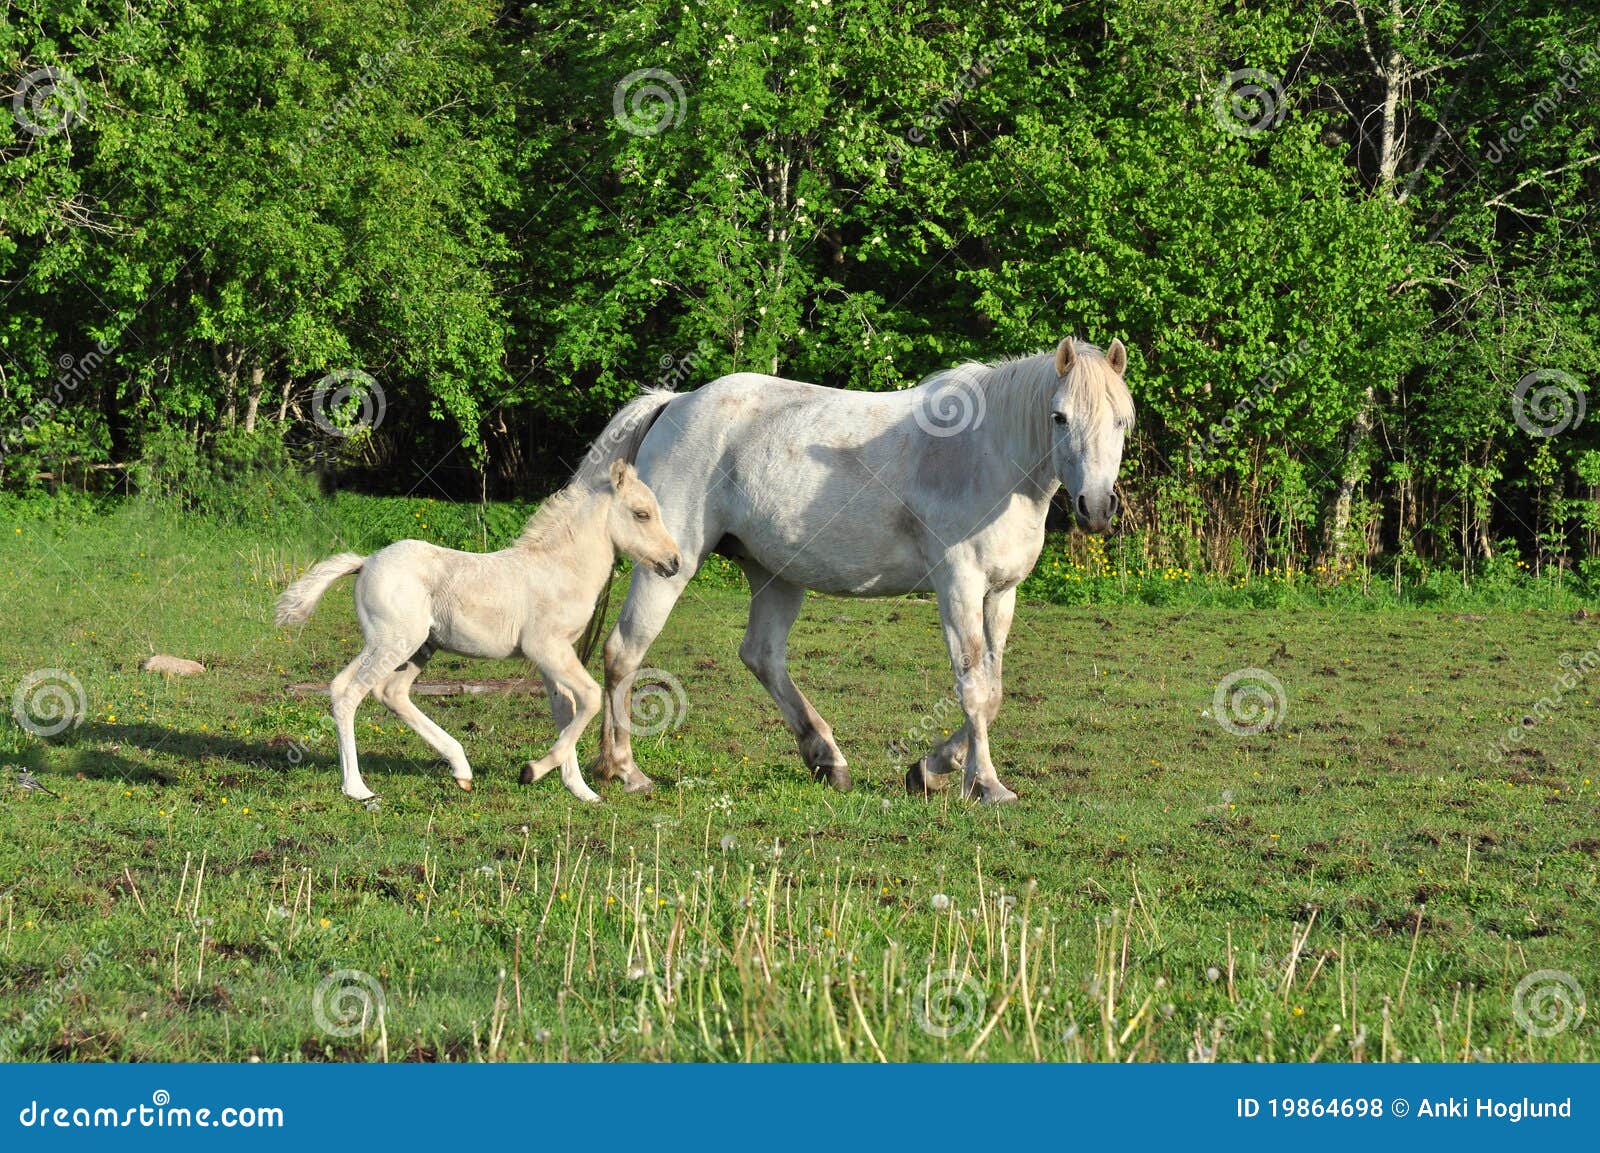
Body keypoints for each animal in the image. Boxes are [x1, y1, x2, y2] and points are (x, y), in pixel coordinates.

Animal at [274, 459, 682, 803]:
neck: (560, 568)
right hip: (390, 642)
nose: (674, 562)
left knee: (392, 692)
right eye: (642, 513)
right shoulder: (546, 647)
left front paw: (581, 790)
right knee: (346, 690)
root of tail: (366, 562)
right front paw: (532, 771)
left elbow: (567, 708)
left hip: (421, 647)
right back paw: (357, 788)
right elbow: (592, 697)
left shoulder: (553, 656)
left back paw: (461, 770)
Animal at [576, 337, 1134, 803]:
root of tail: (674, 404)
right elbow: (974, 687)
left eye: (1121, 421)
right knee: (623, 652)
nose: (1096, 507)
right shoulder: (959, 586)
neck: (987, 456)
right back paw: (623, 770)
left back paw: (827, 759)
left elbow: (993, 690)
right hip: (669, 567)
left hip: (776, 576)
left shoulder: (1001, 592)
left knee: (762, 656)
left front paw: (932, 768)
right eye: (1059, 417)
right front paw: (987, 785)